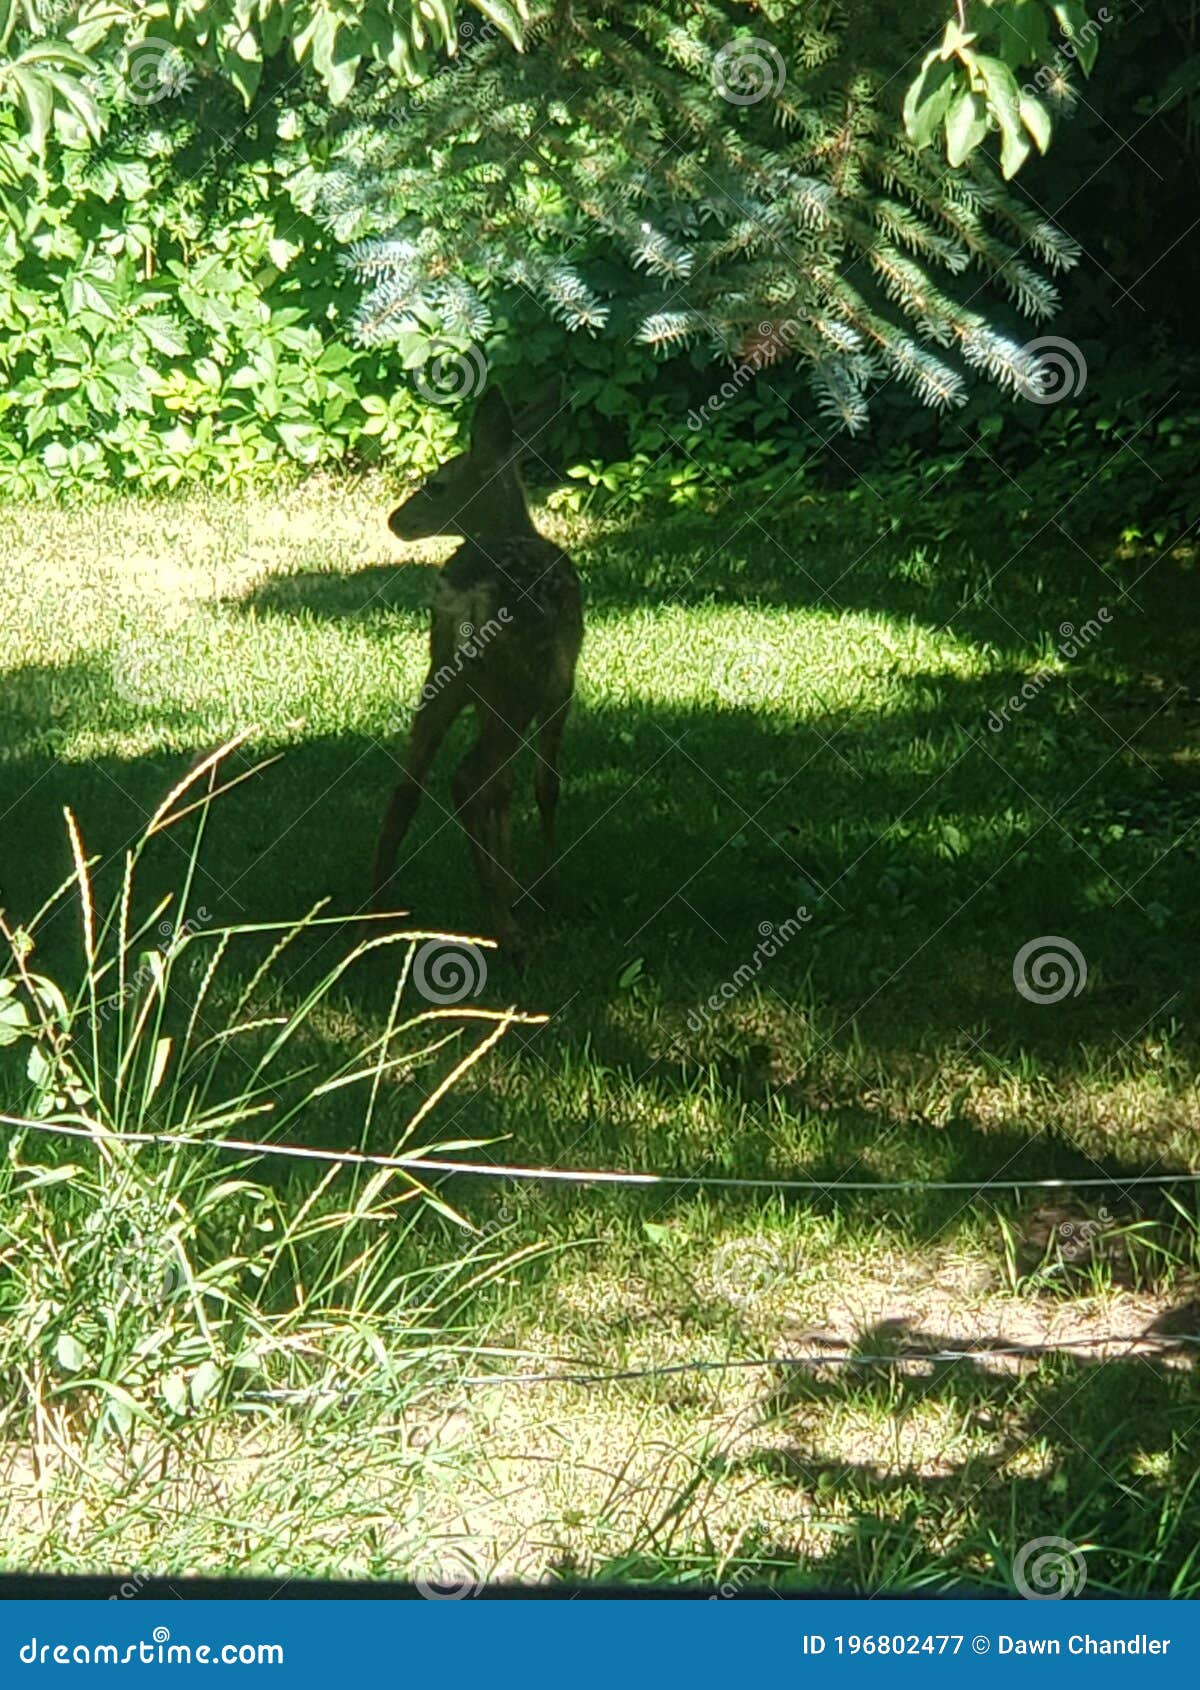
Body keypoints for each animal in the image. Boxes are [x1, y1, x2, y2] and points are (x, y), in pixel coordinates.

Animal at [371, 387, 584, 953]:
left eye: (435, 485)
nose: (395, 520)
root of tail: (466, 595)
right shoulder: (562, 686)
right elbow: (545, 783)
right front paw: (547, 886)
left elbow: (505, 792)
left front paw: (514, 884)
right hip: (518, 683)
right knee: (467, 778)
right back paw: (507, 931)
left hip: (444, 673)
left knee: (410, 783)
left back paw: (374, 912)